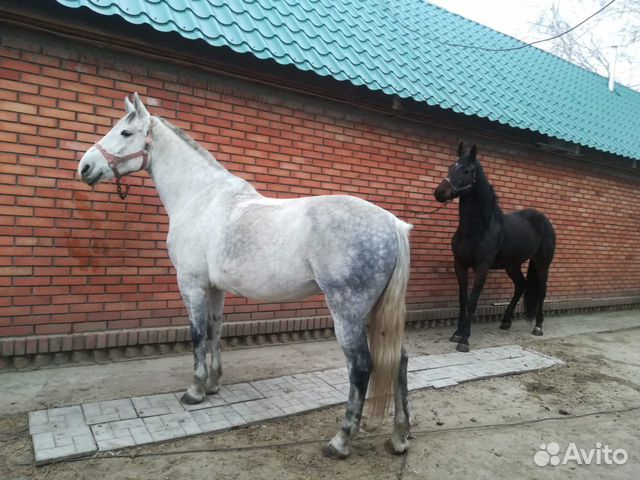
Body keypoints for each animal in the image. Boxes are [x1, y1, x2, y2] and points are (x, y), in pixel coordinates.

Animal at [77, 93, 412, 458]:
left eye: (125, 132)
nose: (85, 167)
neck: (199, 199)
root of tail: (392, 224)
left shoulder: (191, 284)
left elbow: (197, 335)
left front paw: (194, 391)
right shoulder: (215, 288)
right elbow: (214, 331)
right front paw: (213, 384)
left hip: (348, 310)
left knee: (362, 367)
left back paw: (340, 441)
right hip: (376, 311)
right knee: (398, 360)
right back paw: (399, 437)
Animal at [434, 143, 556, 353]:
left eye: (466, 170)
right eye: (451, 166)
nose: (440, 193)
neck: (478, 228)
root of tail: (545, 221)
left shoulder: (482, 267)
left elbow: (473, 301)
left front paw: (464, 339)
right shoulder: (460, 265)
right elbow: (463, 300)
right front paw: (457, 333)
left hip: (542, 264)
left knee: (542, 290)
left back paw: (538, 327)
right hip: (512, 265)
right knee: (521, 285)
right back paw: (506, 321)